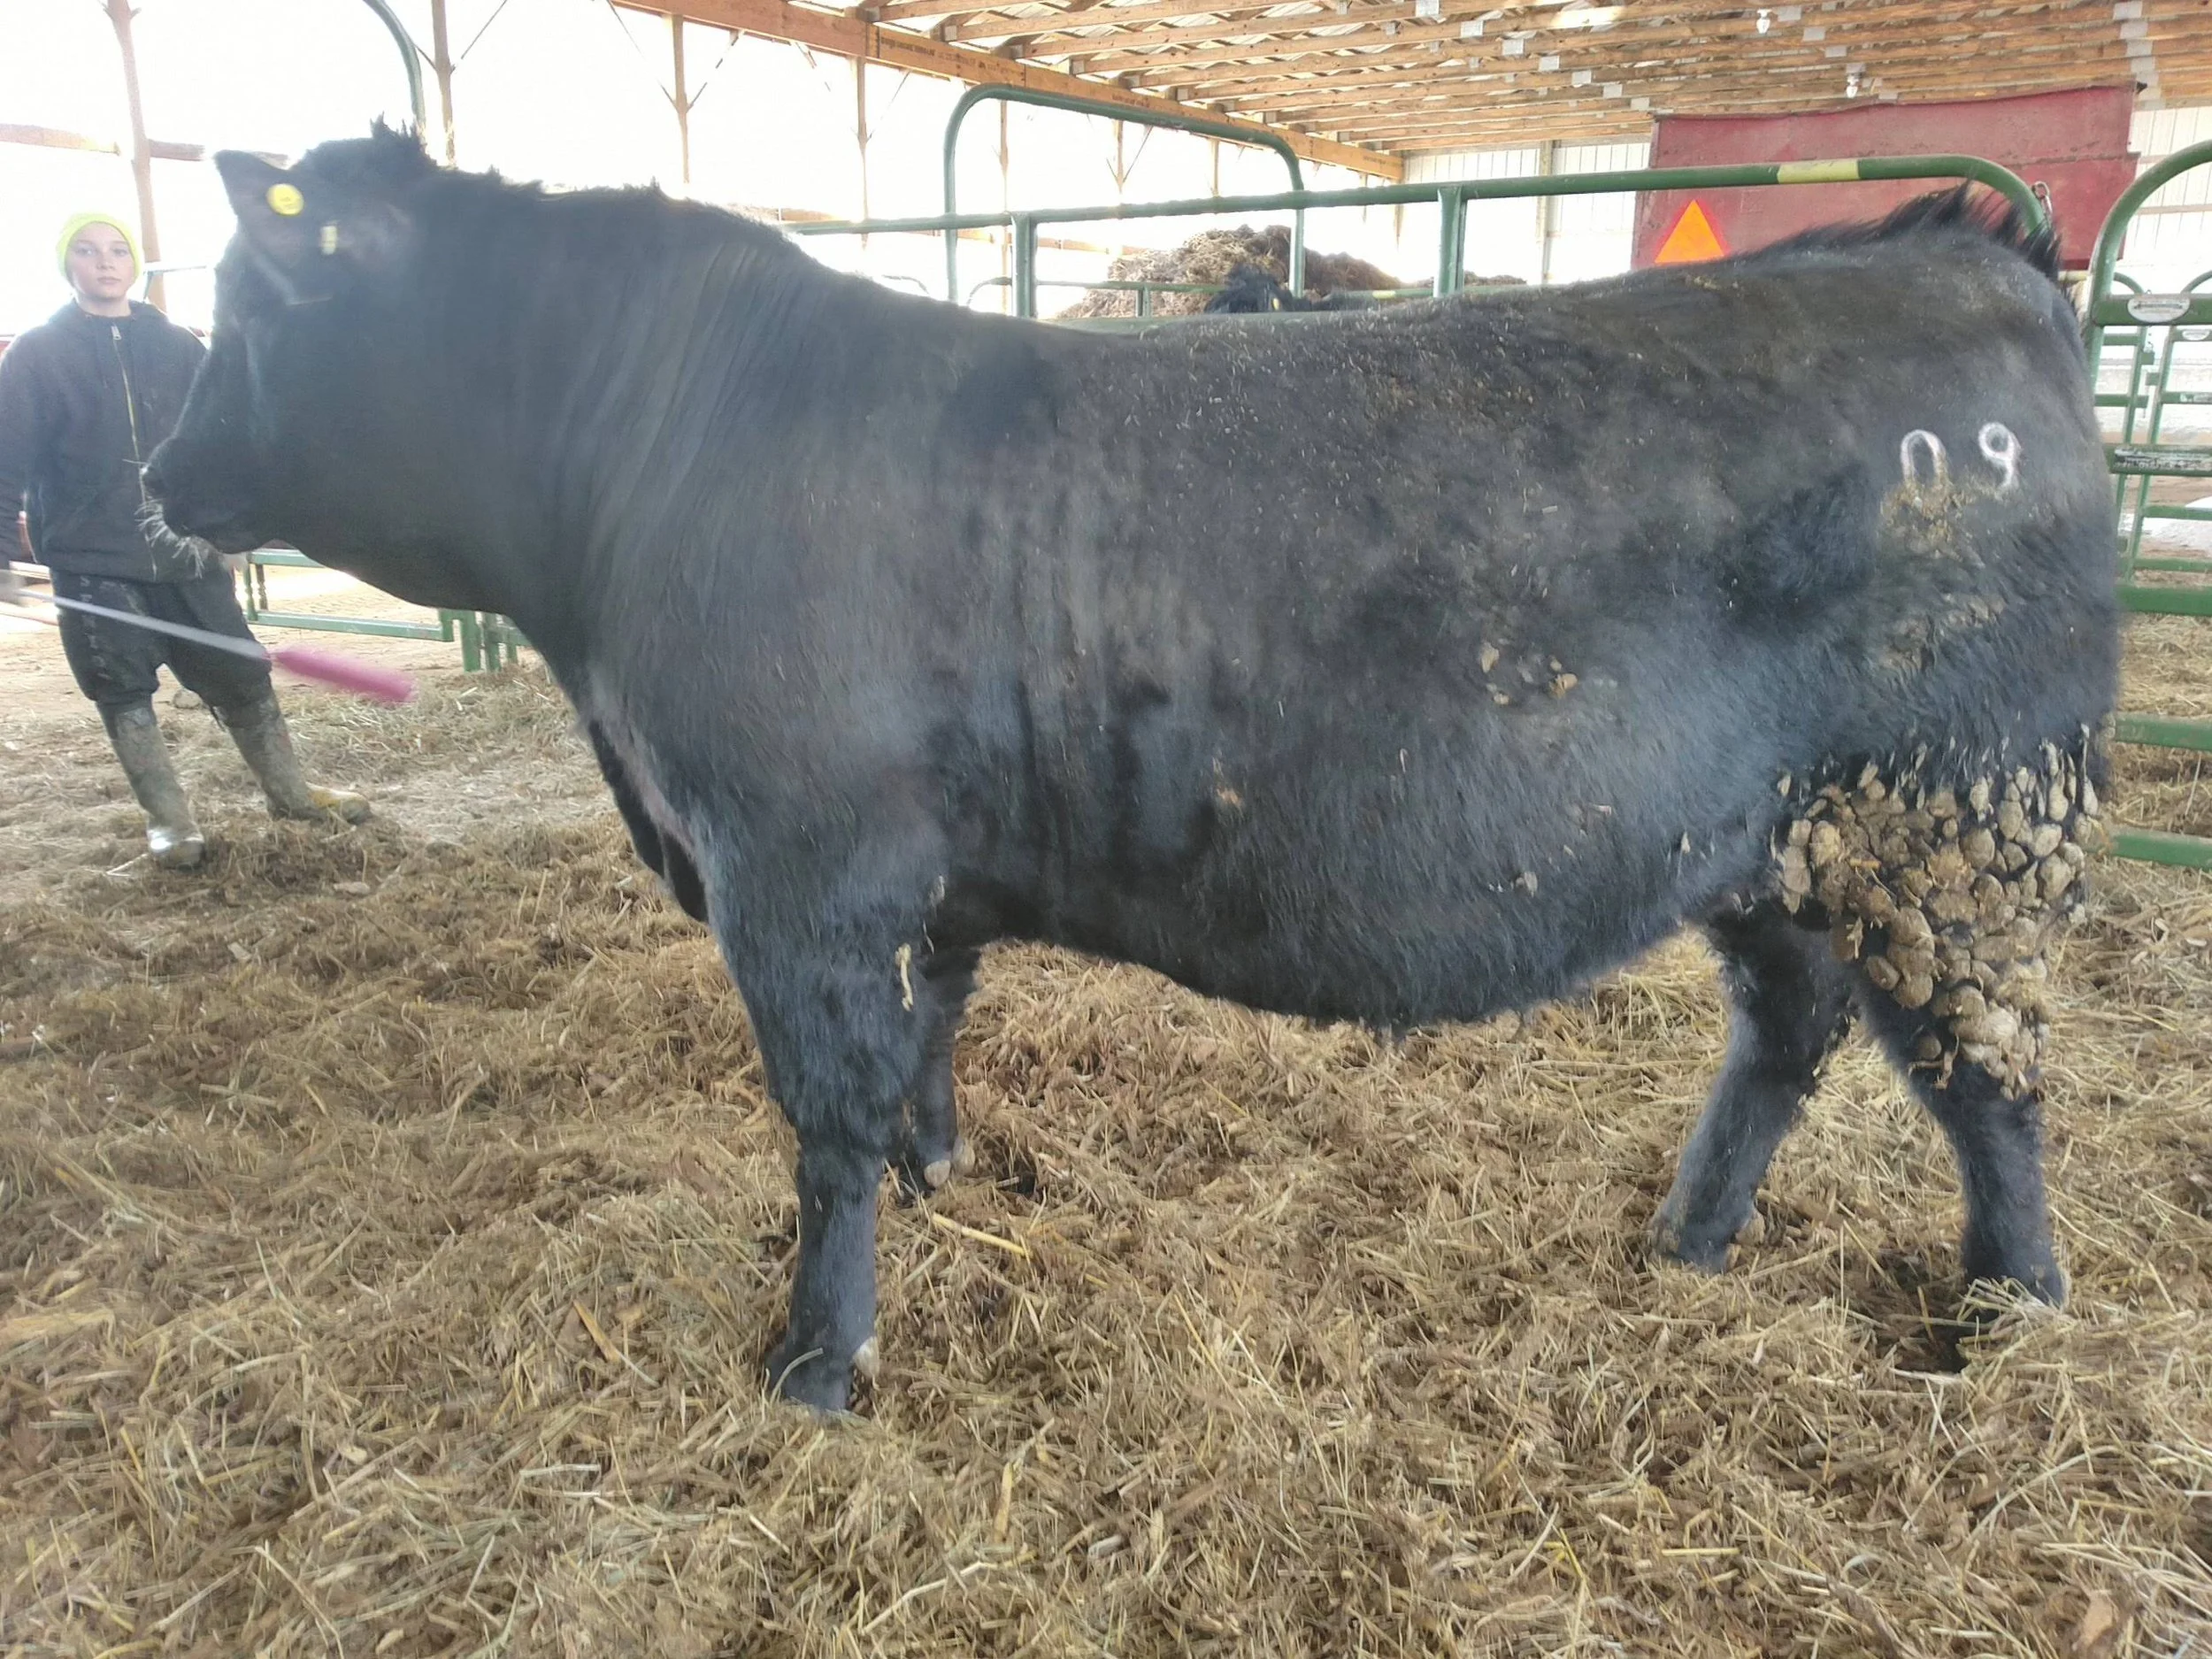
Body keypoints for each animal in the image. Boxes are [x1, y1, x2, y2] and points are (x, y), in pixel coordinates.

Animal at [145, 128, 2119, 1414]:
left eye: (251, 305)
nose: (158, 473)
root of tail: (1955, 250)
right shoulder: (913, 886)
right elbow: (922, 1063)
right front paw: (943, 1194)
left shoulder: (798, 876)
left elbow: (826, 1118)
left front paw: (817, 1364)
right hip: (1777, 848)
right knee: (1791, 1028)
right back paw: (1685, 1243)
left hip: (1962, 829)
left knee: (1994, 1088)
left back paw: (2009, 1321)